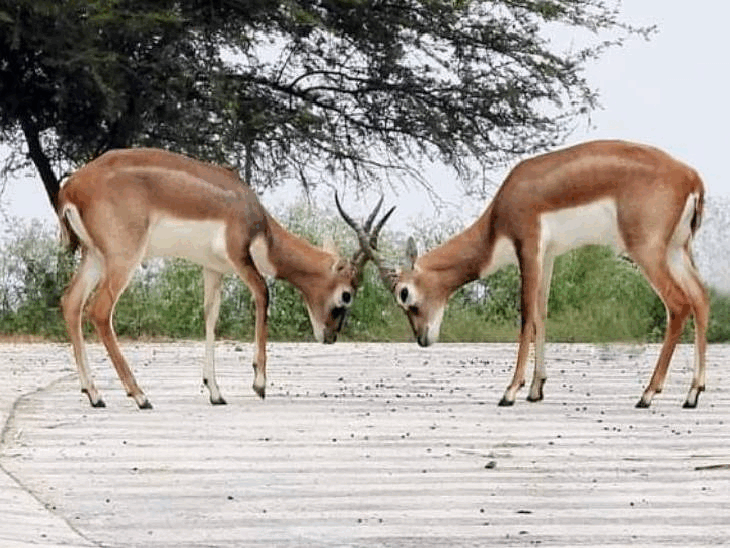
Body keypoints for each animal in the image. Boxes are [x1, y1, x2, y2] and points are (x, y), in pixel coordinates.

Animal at [57, 148, 393, 409]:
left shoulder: (213, 269)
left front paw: (216, 392)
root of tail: (71, 186)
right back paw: (140, 396)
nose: (331, 335)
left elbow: (210, 317)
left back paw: (95, 394)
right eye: (346, 294)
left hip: (94, 257)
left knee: (71, 302)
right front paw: (259, 384)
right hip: (123, 259)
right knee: (99, 310)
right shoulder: (239, 258)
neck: (252, 214)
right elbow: (263, 294)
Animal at [342, 140, 709, 409]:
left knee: (678, 305)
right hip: (676, 251)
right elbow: (542, 313)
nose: (422, 338)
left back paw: (647, 394)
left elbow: (525, 314)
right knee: (701, 299)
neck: (506, 204)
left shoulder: (527, 247)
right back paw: (692, 393)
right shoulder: (547, 256)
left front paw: (510, 391)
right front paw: (536, 388)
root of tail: (692, 177)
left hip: (647, 252)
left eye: (405, 294)